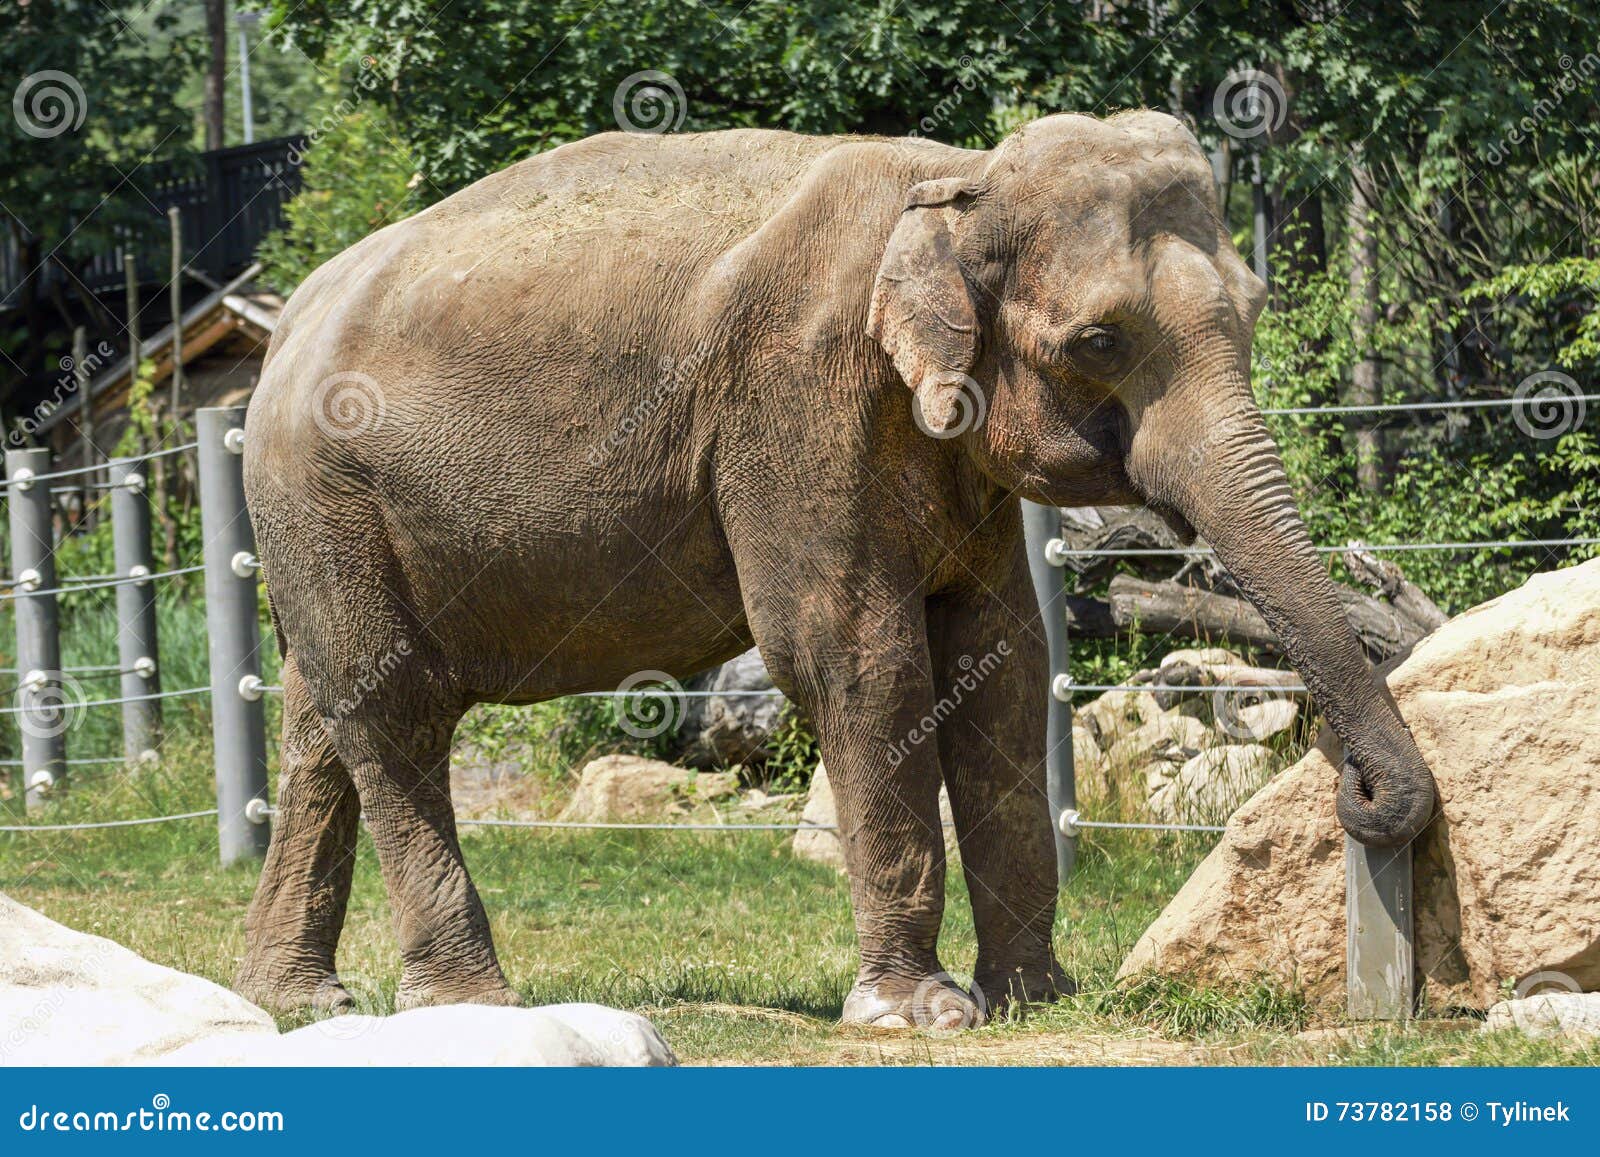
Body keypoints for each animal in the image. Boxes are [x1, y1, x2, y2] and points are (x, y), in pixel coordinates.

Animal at [236, 111, 1436, 1029]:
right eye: (1099, 340)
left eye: (1254, 308)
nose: (1361, 796)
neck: (956, 180)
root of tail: (285, 323)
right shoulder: (797, 397)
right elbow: (854, 656)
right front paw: (920, 1015)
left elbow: (1002, 660)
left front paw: (1034, 1000)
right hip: (322, 492)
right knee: (392, 709)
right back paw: (466, 1005)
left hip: (322, 519)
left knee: (321, 719)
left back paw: (300, 1002)